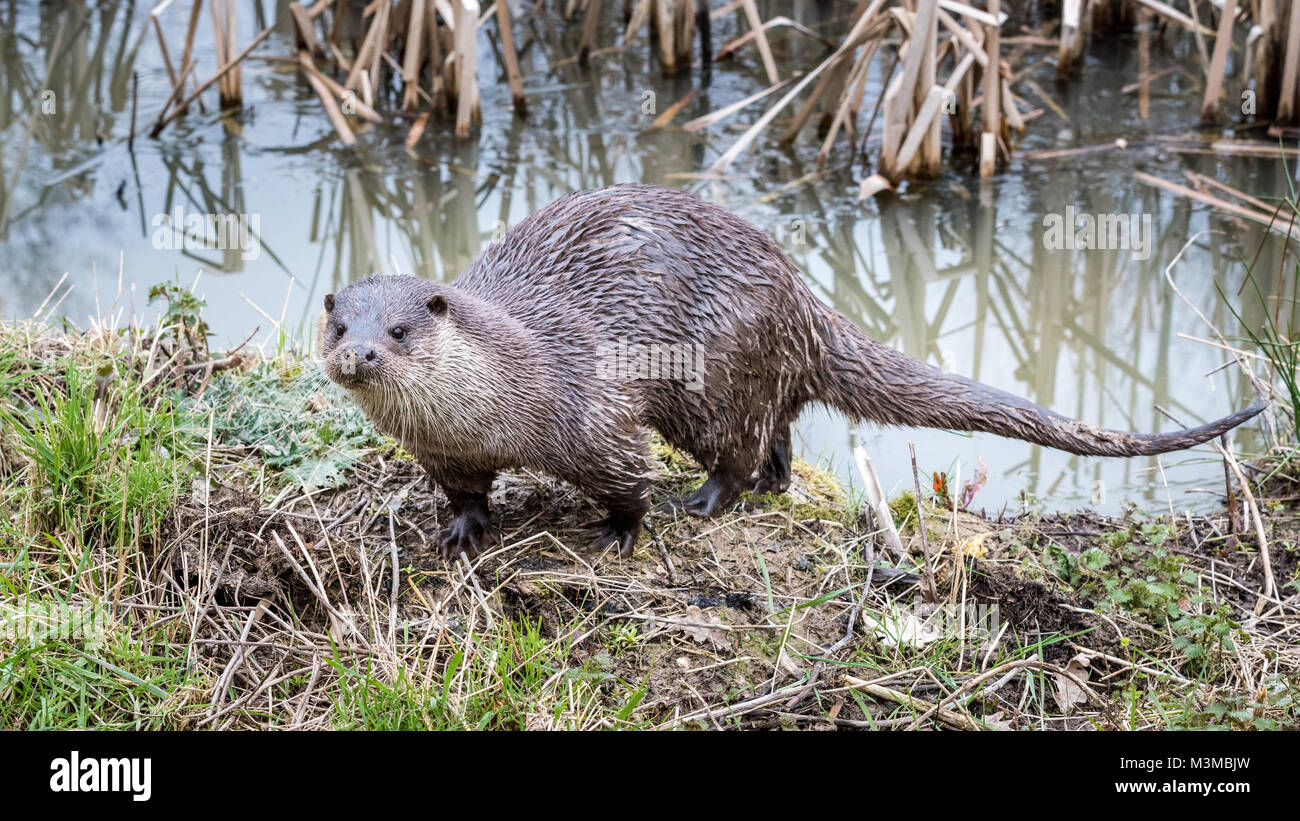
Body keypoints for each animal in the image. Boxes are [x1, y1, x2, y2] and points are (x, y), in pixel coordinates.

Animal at [318, 184, 1264, 559]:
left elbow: (625, 478)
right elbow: (463, 490)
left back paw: (706, 499)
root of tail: (796, 291)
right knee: (777, 435)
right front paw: (462, 529)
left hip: (713, 372)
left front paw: (621, 530)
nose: (356, 352)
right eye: (338, 319)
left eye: (398, 328)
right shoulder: (446, 451)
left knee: (740, 448)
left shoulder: (594, 413)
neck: (501, 399)